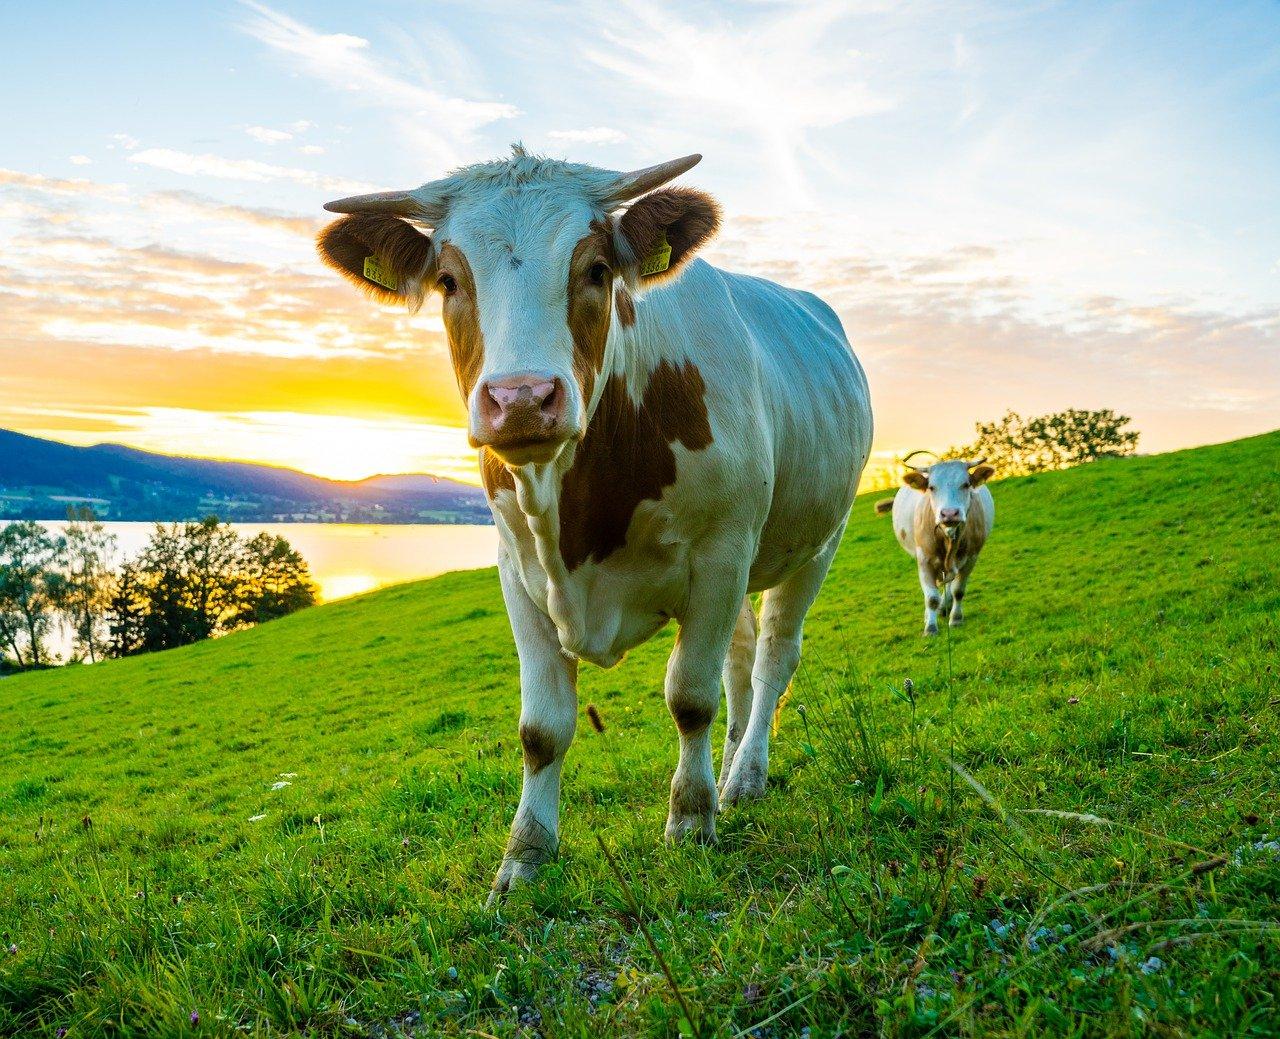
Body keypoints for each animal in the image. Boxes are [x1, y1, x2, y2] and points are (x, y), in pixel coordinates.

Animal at [317, 146, 873, 896]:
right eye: (448, 279)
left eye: (597, 269)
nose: (522, 398)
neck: (575, 519)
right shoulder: (517, 572)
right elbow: (542, 728)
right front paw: (524, 856)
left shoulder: (721, 552)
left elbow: (689, 696)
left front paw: (689, 821)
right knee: (741, 659)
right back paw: (728, 766)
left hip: (818, 541)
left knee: (772, 659)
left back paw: (744, 777)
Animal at [885, 459, 995, 635]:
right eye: (931, 487)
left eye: (966, 484)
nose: (949, 513)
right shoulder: (924, 560)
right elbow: (931, 597)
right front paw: (930, 627)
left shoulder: (971, 558)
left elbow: (958, 591)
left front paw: (956, 619)